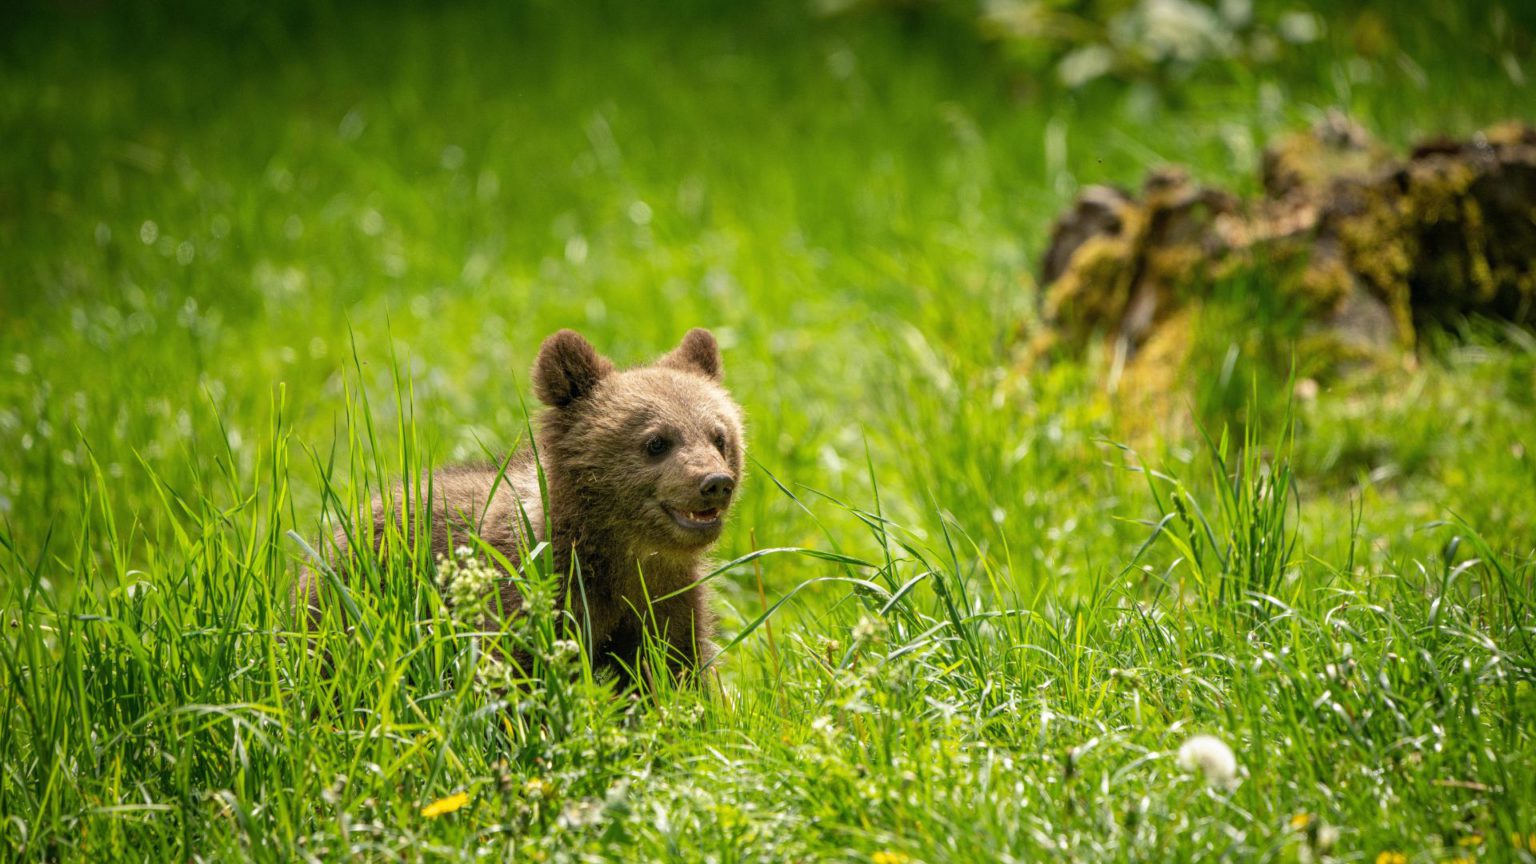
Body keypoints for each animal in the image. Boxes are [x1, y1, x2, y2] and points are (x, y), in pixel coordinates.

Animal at [294, 328, 745, 686]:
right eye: (656, 442)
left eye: (719, 437)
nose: (714, 483)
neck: (622, 553)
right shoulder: (534, 589)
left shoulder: (667, 599)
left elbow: (674, 671)